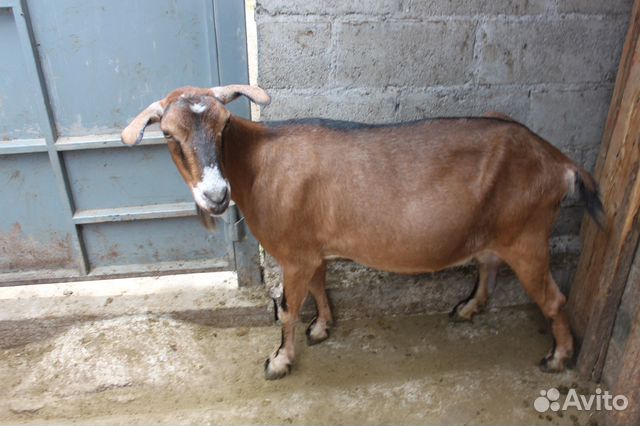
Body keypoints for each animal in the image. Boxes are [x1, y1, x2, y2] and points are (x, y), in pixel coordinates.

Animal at [122, 85, 605, 380]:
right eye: (169, 135)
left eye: (223, 125)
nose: (216, 195)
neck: (256, 165)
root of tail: (561, 162)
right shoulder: (310, 248)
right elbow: (319, 286)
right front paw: (322, 328)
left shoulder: (293, 253)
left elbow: (288, 309)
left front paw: (279, 361)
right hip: (498, 229)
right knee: (488, 263)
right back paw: (468, 308)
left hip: (528, 235)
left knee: (553, 298)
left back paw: (557, 357)